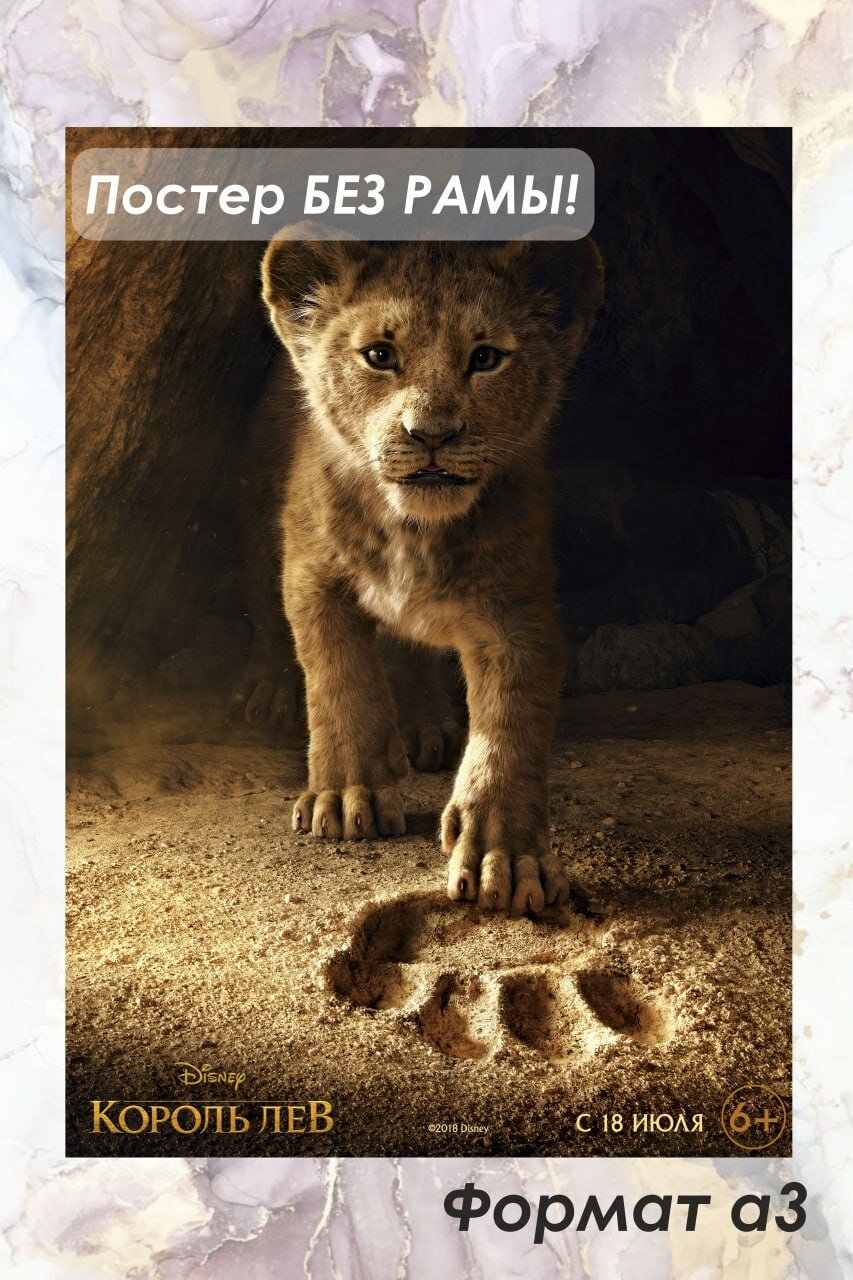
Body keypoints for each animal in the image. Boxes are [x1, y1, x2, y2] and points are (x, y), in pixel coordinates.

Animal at [243, 227, 603, 914]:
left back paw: (423, 724)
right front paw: (347, 795)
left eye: (486, 358)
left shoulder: (517, 607)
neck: (415, 530)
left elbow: (511, 723)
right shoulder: (312, 573)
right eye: (379, 355)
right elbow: (339, 679)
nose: (431, 434)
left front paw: (505, 855)